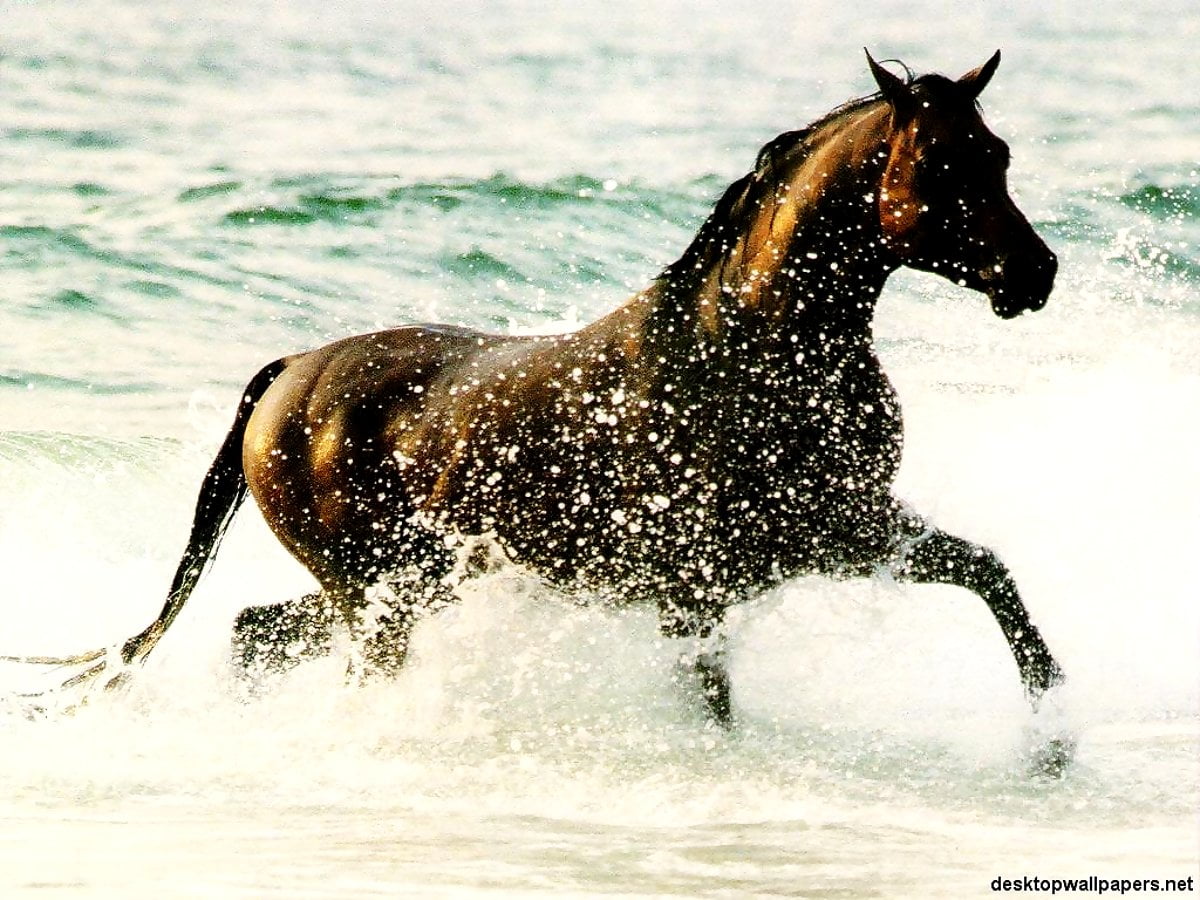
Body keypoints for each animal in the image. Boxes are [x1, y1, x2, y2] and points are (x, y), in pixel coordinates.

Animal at [17, 51, 1065, 746]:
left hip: (403, 587)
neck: (749, 351)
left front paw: (1055, 732)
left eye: (1000, 152)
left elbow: (992, 576)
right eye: (941, 164)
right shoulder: (700, 588)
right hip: (378, 597)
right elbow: (713, 702)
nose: (1037, 273)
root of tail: (289, 376)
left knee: (254, 634)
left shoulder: (843, 531)